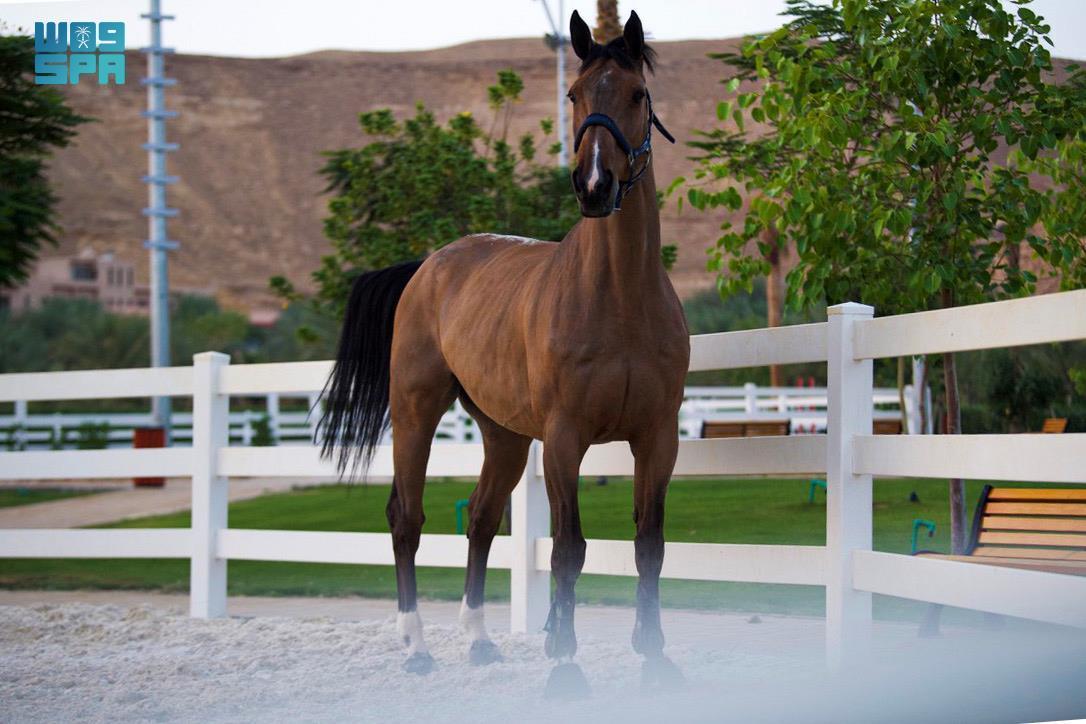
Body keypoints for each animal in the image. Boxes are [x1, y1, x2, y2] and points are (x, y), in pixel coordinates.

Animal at [321, 9, 689, 694]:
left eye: (636, 94)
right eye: (573, 95)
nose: (593, 186)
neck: (621, 298)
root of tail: (428, 266)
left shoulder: (657, 437)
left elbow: (648, 546)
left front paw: (655, 658)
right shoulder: (566, 439)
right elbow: (568, 549)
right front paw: (565, 664)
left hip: (505, 435)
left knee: (481, 519)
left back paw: (479, 641)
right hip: (416, 413)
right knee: (406, 519)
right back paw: (416, 647)